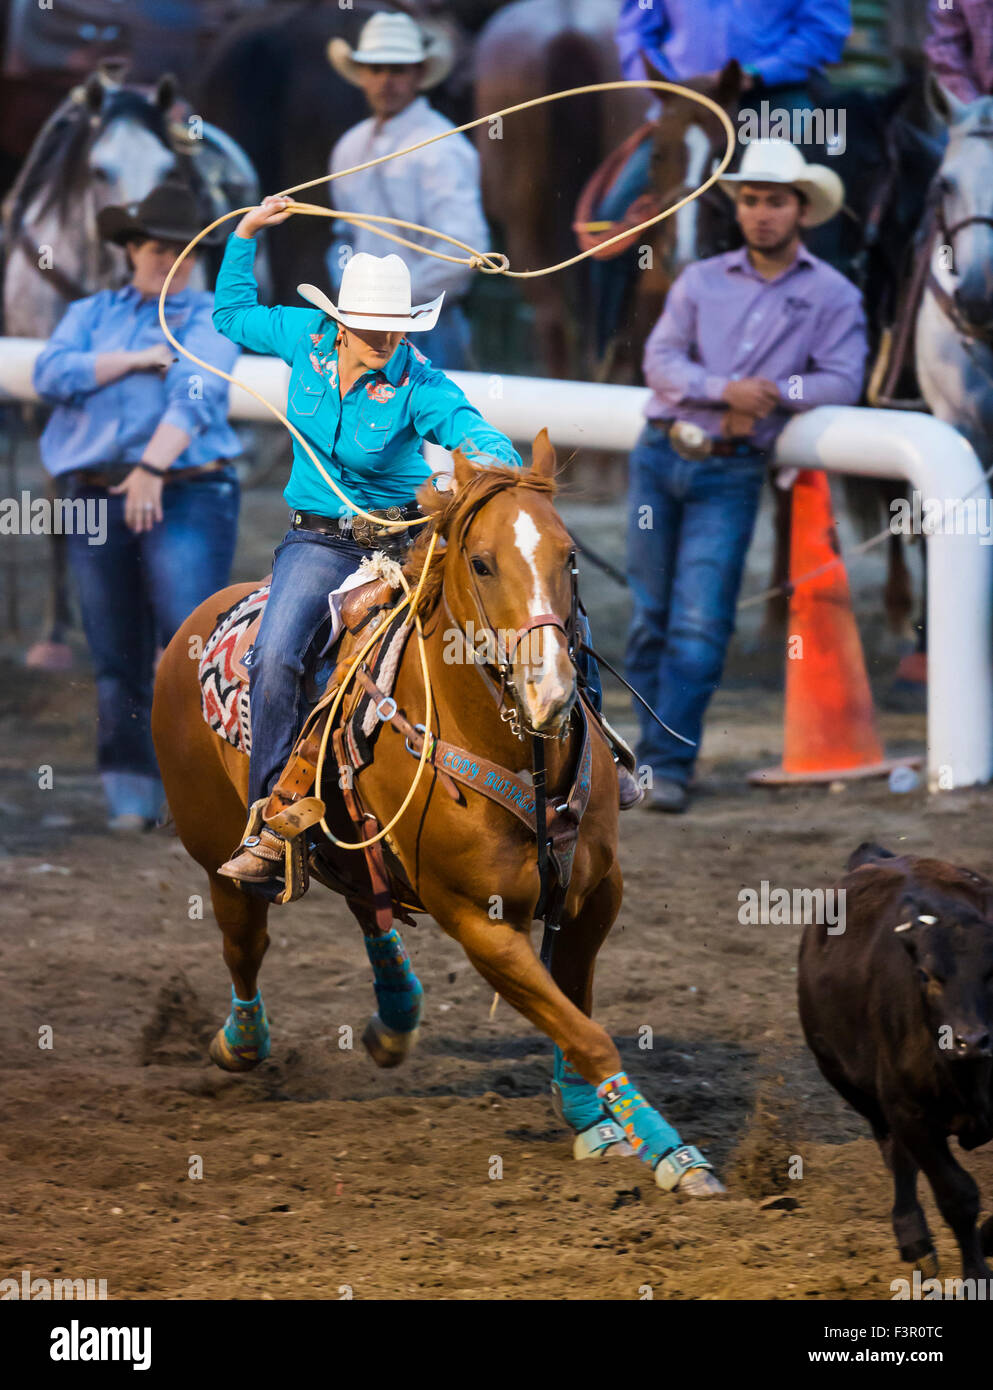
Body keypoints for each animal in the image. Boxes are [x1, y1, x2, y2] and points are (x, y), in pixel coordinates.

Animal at [798, 843, 993, 1281]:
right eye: (925, 975)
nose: (969, 1041)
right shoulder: (910, 1114)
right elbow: (957, 1196)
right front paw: (976, 1274)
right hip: (859, 1091)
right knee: (899, 1162)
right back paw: (914, 1239)